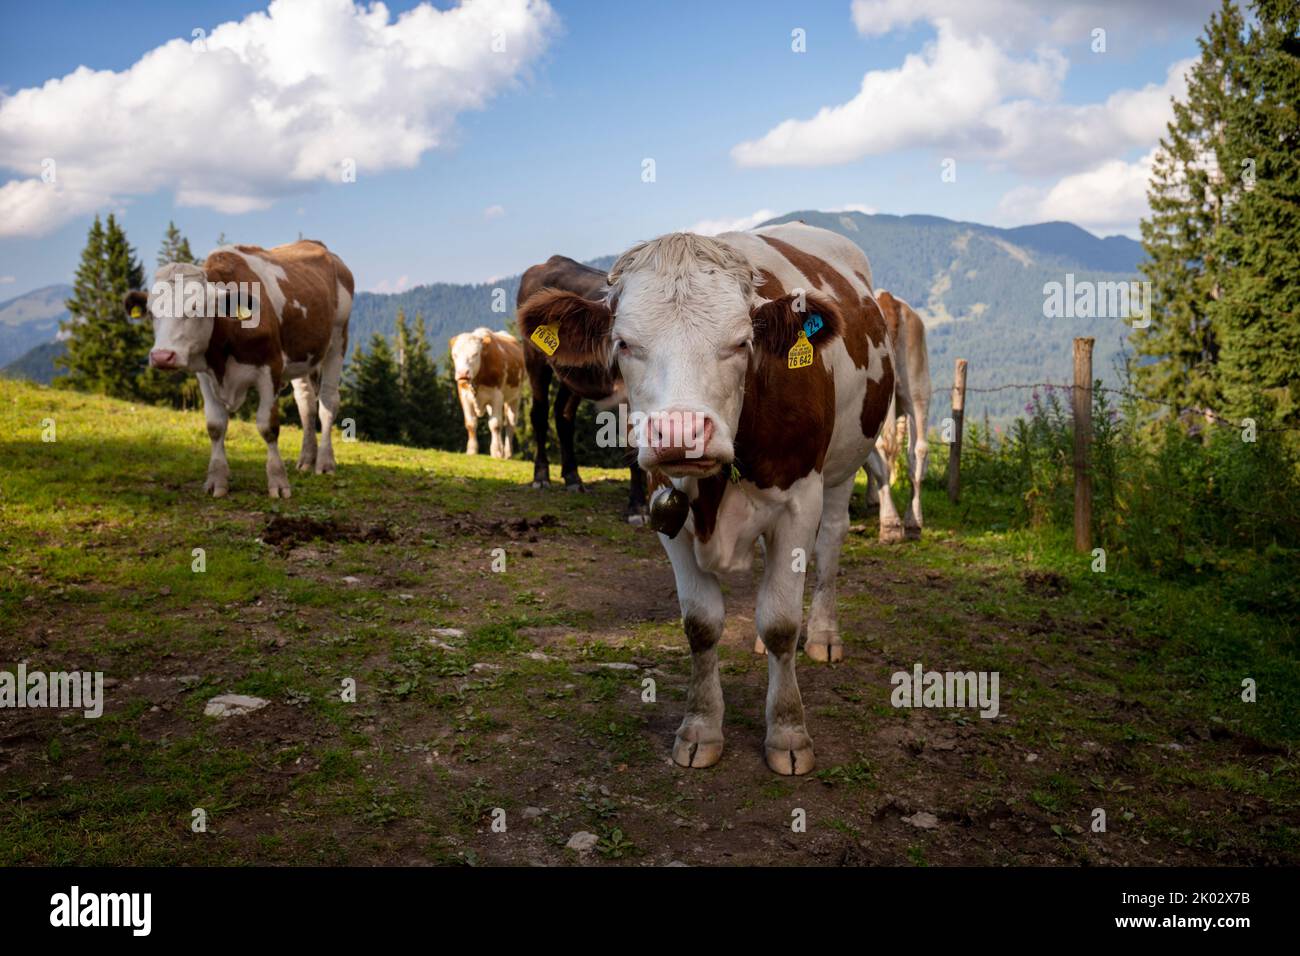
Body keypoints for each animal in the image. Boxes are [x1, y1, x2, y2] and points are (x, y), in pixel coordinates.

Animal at [123, 239, 353, 499]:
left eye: (196, 307)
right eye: (151, 312)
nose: (162, 356)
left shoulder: (270, 369)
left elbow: (268, 426)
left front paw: (278, 481)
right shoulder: (205, 374)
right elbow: (215, 426)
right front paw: (217, 480)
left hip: (338, 337)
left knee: (327, 402)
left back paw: (324, 462)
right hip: (302, 357)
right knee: (306, 404)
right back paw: (306, 459)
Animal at [448, 327, 525, 459]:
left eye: (475, 354)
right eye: (455, 354)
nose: (463, 373)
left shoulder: (497, 396)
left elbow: (495, 424)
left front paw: (496, 452)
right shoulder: (464, 396)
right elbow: (471, 424)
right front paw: (472, 450)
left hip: (514, 398)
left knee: (510, 424)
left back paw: (507, 454)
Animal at [516, 254, 648, 522]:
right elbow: (633, 445)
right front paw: (638, 506)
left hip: (574, 374)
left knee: (563, 414)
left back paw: (572, 477)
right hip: (534, 357)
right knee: (539, 414)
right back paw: (541, 476)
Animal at [863, 290, 931, 541]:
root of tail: (886, 298)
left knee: (882, 451)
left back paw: (890, 523)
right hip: (919, 390)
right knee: (919, 451)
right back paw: (913, 521)